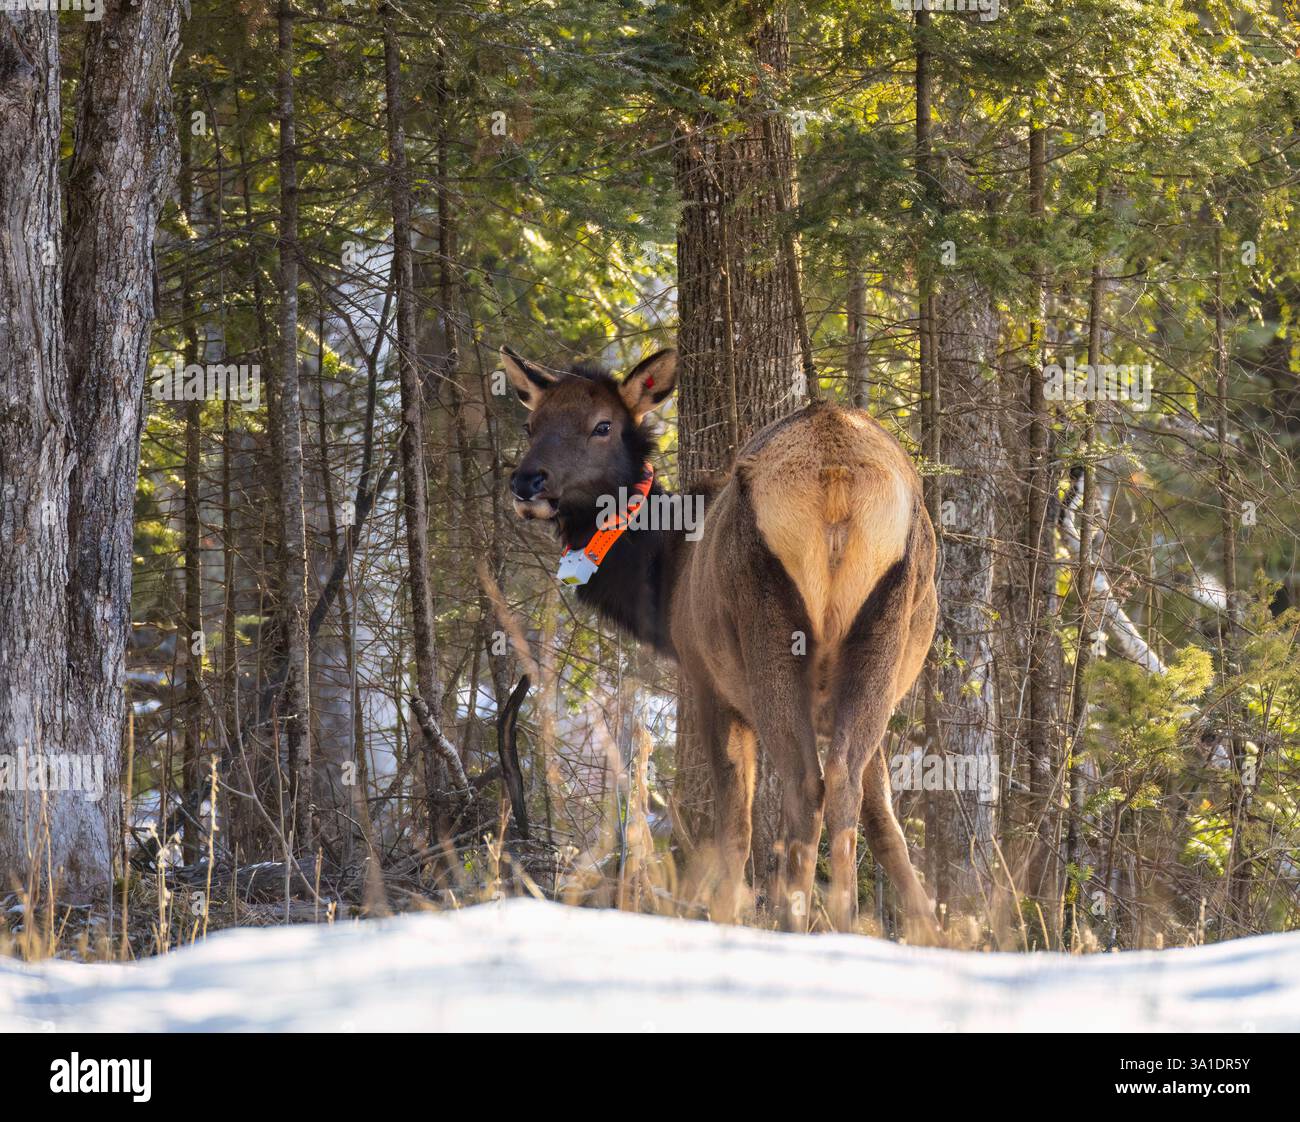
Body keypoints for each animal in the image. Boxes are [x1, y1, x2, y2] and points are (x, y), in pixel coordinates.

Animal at [503, 343, 939, 939]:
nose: (528, 481)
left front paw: (726, 911)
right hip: (885, 628)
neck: (665, 578)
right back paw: (843, 919)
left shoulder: (707, 679)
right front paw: (925, 927)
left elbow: (734, 824)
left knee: (805, 784)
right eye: (530, 423)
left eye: (603, 425)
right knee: (844, 782)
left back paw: (790, 920)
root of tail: (837, 477)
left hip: (767, 632)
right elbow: (884, 818)